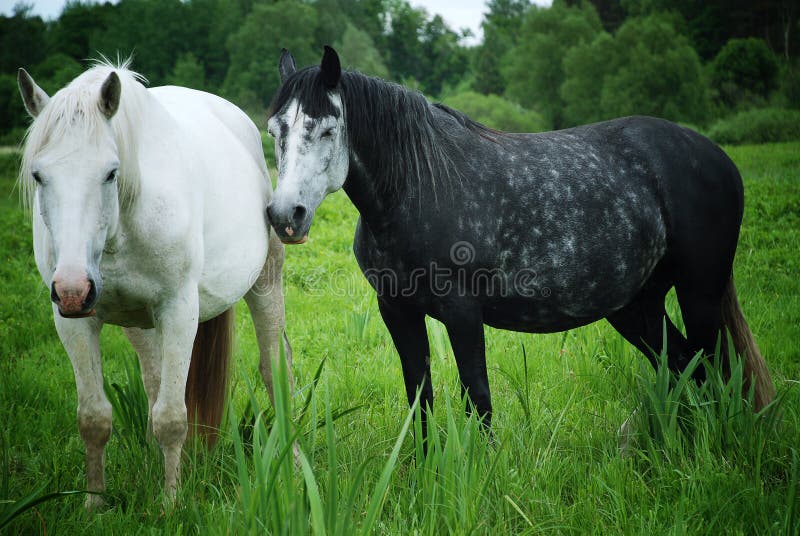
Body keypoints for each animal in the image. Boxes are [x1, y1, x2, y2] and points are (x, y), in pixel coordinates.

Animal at [17, 61, 292, 508]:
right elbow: (94, 417)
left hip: (266, 282)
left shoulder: (179, 310)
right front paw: (95, 503)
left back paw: (292, 453)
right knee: (153, 381)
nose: (73, 289)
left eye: (110, 173)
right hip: (139, 322)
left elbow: (171, 417)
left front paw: (170, 505)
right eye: (39, 175)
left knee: (274, 367)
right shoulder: (74, 322)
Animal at [265, 46, 775, 441]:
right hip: (636, 307)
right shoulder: (397, 309)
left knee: (717, 369)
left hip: (699, 293)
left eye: (328, 129)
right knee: (686, 366)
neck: (420, 187)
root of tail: (715, 157)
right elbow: (420, 399)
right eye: (276, 131)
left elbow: (478, 399)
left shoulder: (462, 312)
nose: (285, 215)